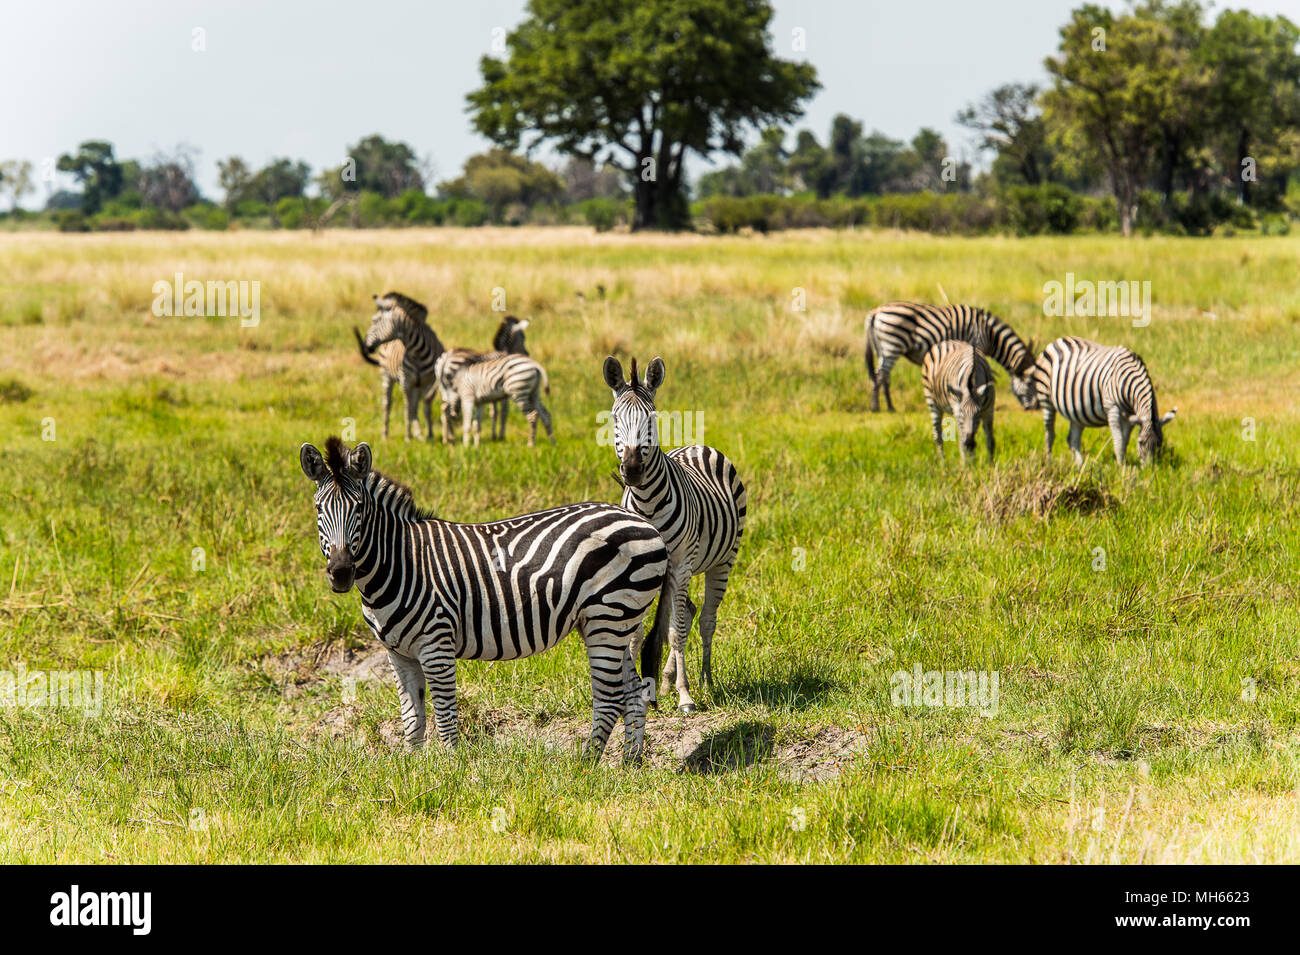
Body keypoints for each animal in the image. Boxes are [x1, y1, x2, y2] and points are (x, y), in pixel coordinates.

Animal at [298, 437, 668, 763]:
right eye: (318, 509)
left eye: (360, 509)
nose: (341, 572)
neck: (401, 561)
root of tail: (641, 521)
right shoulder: (398, 654)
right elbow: (413, 720)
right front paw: (412, 770)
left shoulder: (437, 643)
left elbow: (445, 717)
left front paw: (452, 772)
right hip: (612, 620)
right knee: (634, 692)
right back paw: (630, 763)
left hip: (609, 615)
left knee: (609, 697)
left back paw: (586, 766)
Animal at [355, 292, 444, 441]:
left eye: (374, 321)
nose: (365, 346)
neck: (417, 352)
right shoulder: (406, 382)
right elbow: (407, 408)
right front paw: (408, 437)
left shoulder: (429, 383)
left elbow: (426, 406)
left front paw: (429, 434)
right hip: (387, 376)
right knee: (387, 404)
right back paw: (385, 435)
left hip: (417, 385)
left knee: (415, 405)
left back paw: (418, 433)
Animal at [602, 356, 747, 714]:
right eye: (615, 418)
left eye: (652, 419)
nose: (632, 470)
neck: (648, 504)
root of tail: (699, 446)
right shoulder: (638, 570)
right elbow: (638, 633)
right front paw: (642, 690)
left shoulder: (681, 566)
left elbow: (676, 632)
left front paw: (685, 695)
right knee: (688, 613)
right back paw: (667, 680)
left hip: (721, 561)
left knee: (705, 618)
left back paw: (706, 681)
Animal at [864, 302, 1037, 413]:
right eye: (1031, 383)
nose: (1033, 408)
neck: (990, 336)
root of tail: (875, 312)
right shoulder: (976, 346)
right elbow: (975, 377)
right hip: (892, 344)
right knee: (879, 376)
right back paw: (876, 408)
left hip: (882, 348)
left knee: (882, 376)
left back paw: (889, 407)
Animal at [1023, 336, 1177, 465]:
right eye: (1140, 442)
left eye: (1160, 444)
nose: (1148, 470)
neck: (1126, 383)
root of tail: (1057, 340)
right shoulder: (1112, 408)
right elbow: (1118, 441)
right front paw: (1121, 469)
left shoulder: (1130, 416)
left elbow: (1125, 441)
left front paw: (1123, 465)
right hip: (1046, 398)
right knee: (1049, 433)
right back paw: (1049, 462)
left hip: (1076, 410)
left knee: (1072, 439)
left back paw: (1080, 466)